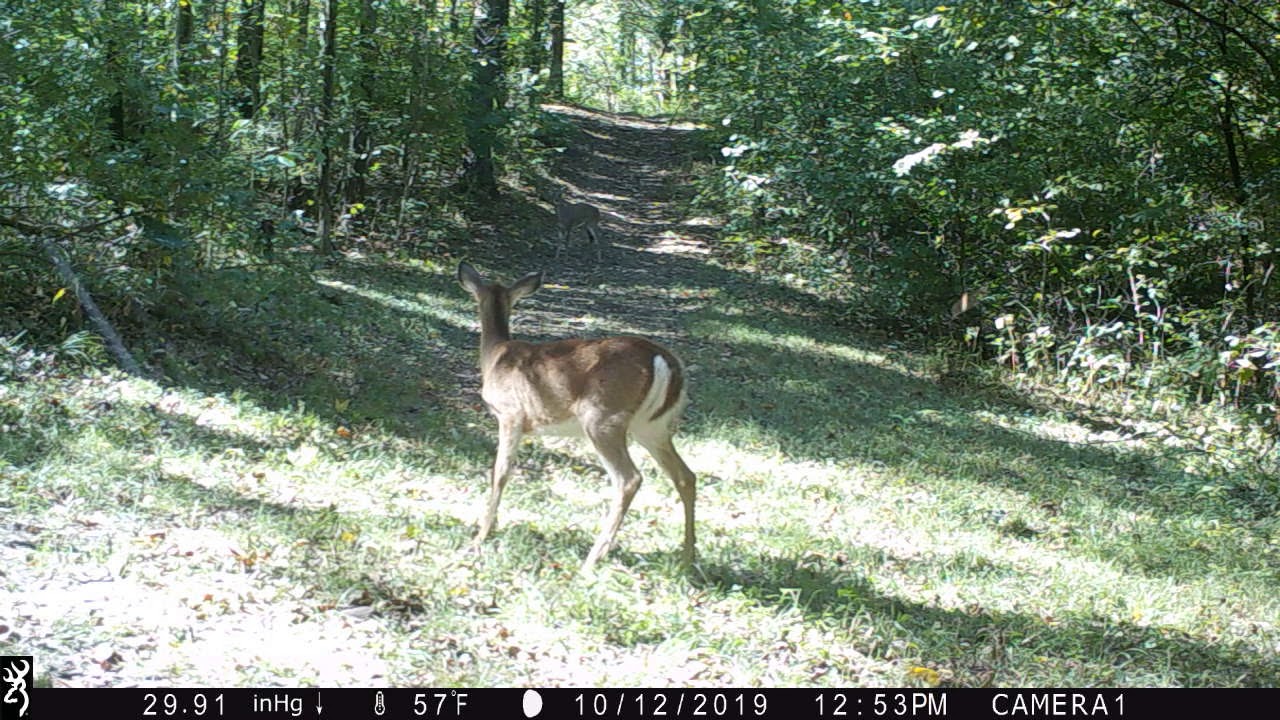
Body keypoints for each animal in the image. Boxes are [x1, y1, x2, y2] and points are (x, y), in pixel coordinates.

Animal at [456, 262, 696, 572]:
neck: (495, 356)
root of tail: (664, 360)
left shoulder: (510, 414)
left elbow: (500, 472)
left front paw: (480, 536)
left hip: (602, 417)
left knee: (629, 479)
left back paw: (593, 558)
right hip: (652, 427)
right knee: (686, 476)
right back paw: (688, 557)